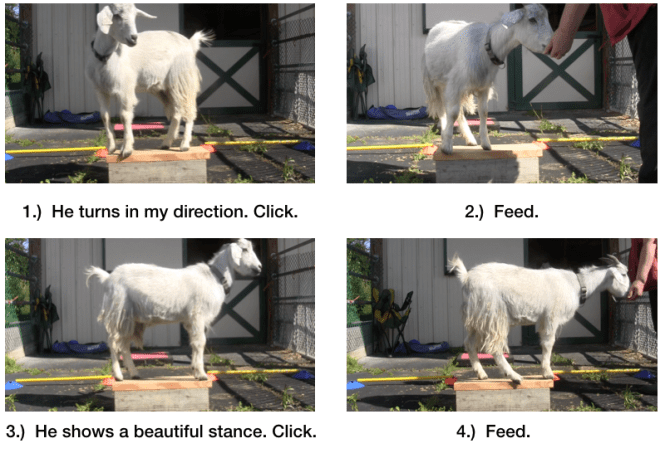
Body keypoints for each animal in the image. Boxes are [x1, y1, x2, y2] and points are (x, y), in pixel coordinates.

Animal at [85, 4, 214, 159]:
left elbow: (124, 116)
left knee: (188, 110)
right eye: (117, 15)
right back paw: (167, 142)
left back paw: (184, 145)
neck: (106, 56)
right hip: (164, 88)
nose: (134, 38)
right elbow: (105, 116)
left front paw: (126, 149)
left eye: (135, 16)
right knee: (176, 112)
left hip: (182, 79)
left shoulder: (125, 88)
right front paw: (111, 148)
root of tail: (190, 43)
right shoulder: (100, 89)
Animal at [85, 239, 262, 381]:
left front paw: (195, 370)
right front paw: (202, 374)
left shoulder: (190, 320)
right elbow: (200, 342)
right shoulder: (198, 315)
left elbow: (193, 343)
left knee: (124, 346)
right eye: (245, 249)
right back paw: (118, 375)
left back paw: (135, 373)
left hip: (130, 319)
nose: (259, 268)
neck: (215, 277)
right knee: (113, 344)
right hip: (119, 312)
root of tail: (107, 278)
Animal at [423, 4, 553, 154]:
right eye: (532, 20)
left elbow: (483, 112)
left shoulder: (484, 86)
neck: (486, 45)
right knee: (442, 110)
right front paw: (447, 146)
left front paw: (486, 144)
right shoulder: (455, 84)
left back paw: (470, 139)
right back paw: (446, 135)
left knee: (458, 111)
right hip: (435, 83)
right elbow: (453, 113)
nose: (550, 45)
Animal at [447, 254, 630, 383]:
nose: (628, 294)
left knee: (470, 344)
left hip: (477, 318)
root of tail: (466, 277)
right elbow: (548, 344)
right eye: (623, 274)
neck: (577, 285)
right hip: (493, 313)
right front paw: (547, 373)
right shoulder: (551, 316)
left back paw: (481, 374)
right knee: (495, 347)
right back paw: (514, 376)